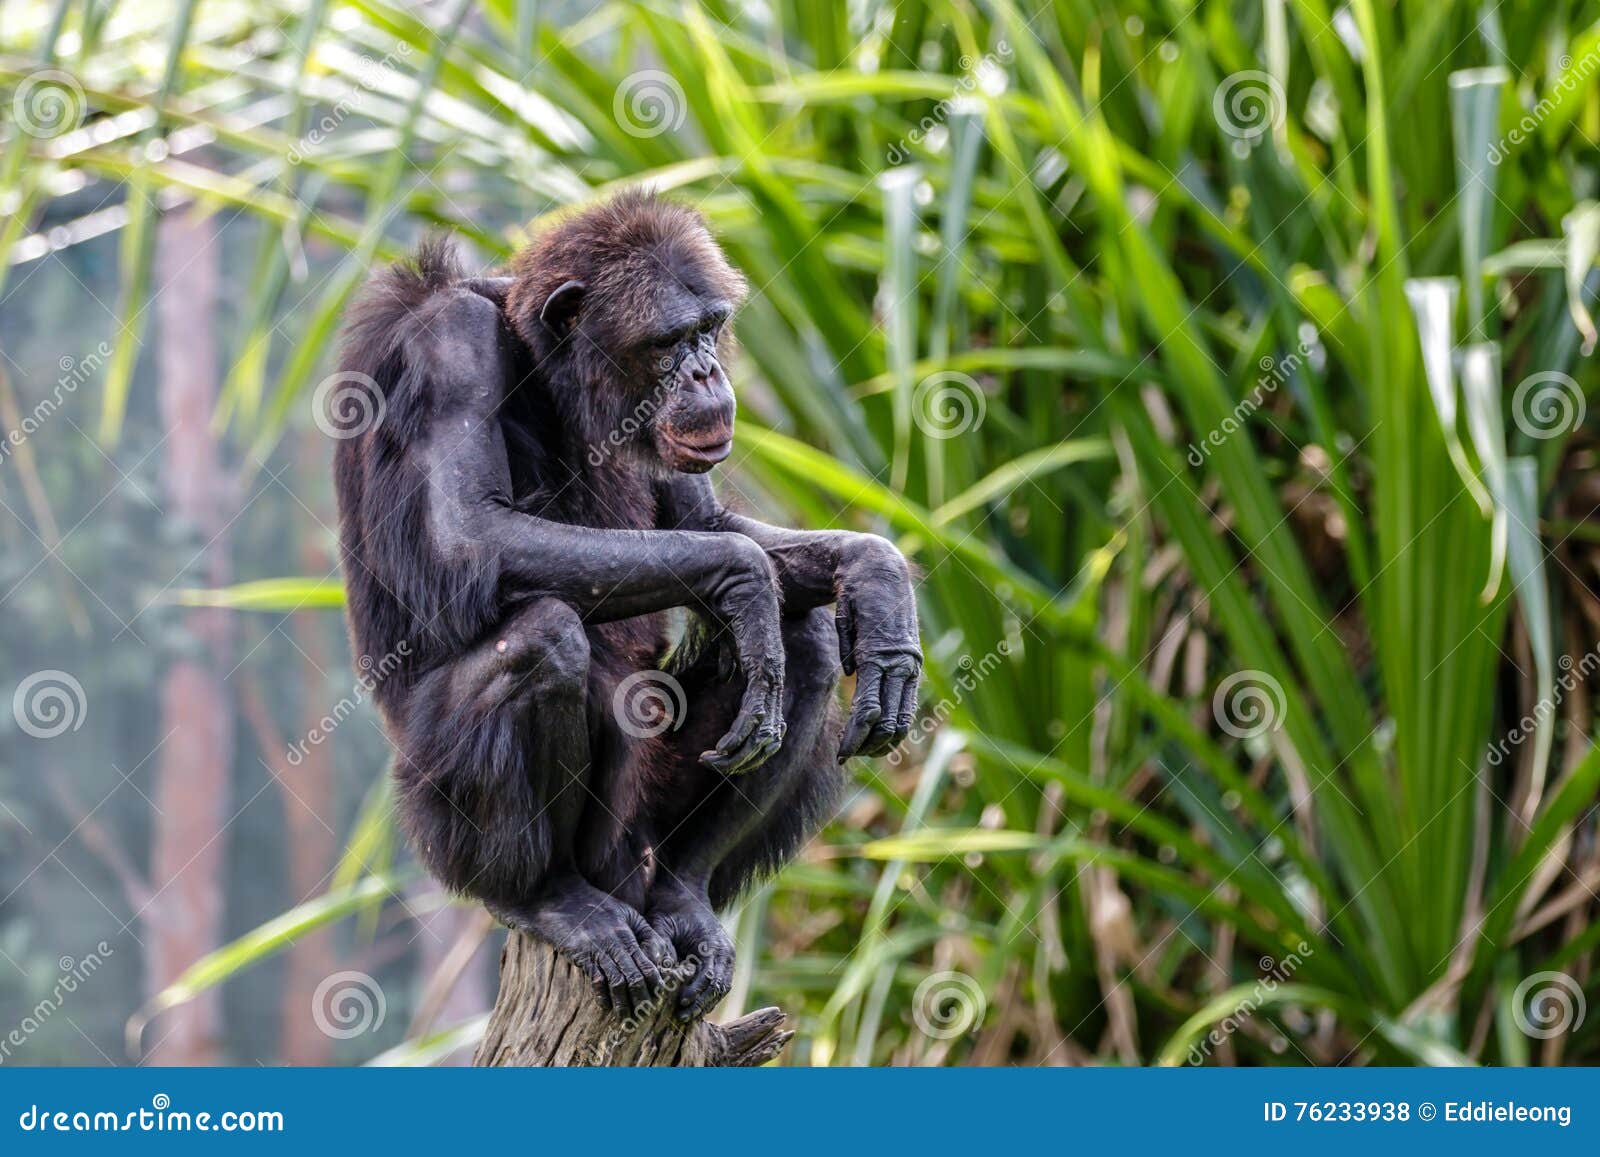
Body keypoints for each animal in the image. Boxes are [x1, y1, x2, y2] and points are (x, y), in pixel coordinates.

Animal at [333, 190, 921, 1021]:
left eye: (709, 327)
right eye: (669, 341)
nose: (706, 369)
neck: (549, 375)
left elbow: (708, 525)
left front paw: (876, 574)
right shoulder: (448, 346)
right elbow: (469, 531)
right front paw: (745, 581)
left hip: (645, 834)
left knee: (805, 637)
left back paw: (686, 897)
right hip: (442, 822)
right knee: (545, 638)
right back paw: (552, 899)